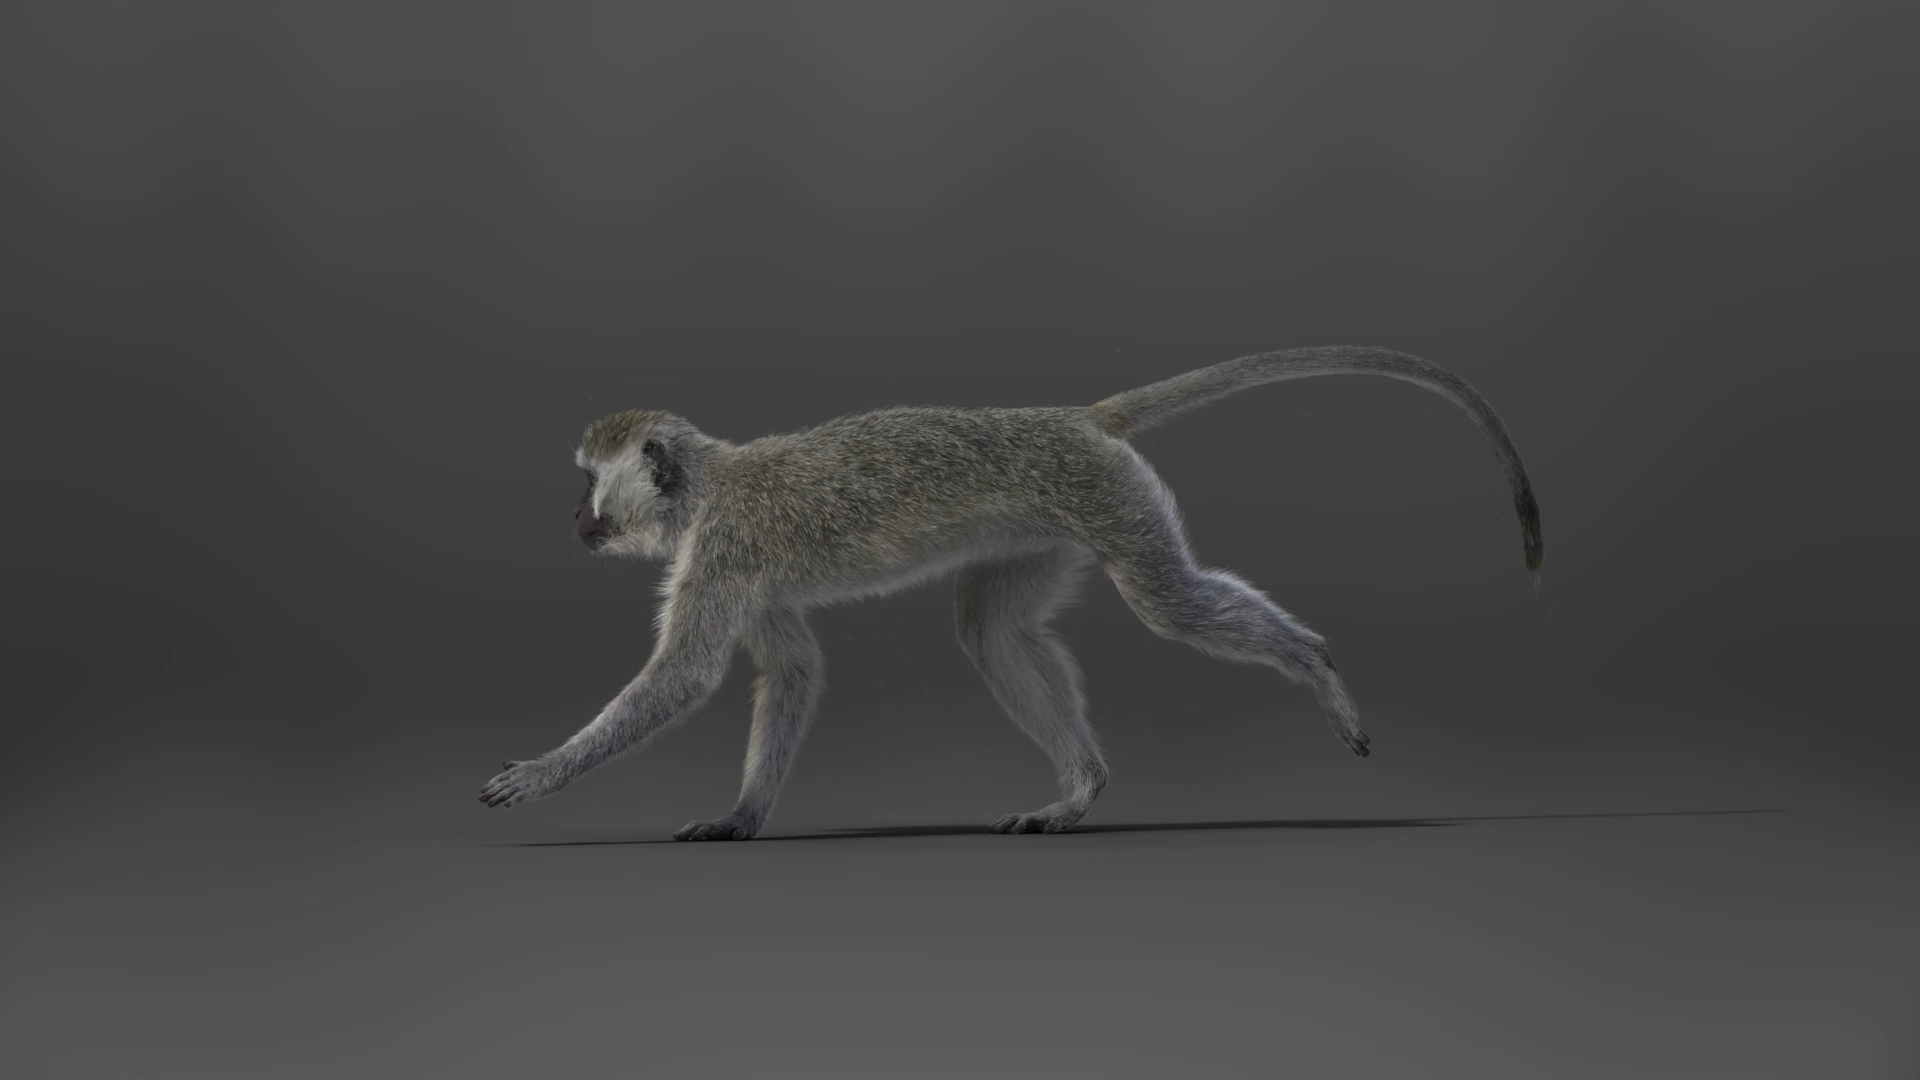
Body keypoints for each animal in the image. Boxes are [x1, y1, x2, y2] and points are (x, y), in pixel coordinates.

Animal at [479, 346, 1544, 839]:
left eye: (589, 482)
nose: (574, 519)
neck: (703, 488)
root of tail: (1073, 417)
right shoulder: (747, 571)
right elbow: (791, 670)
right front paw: (743, 816)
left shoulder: (725, 551)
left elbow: (685, 677)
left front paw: (539, 774)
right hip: (1045, 532)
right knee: (990, 628)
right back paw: (1079, 792)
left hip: (1111, 500)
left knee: (1167, 601)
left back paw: (1317, 667)